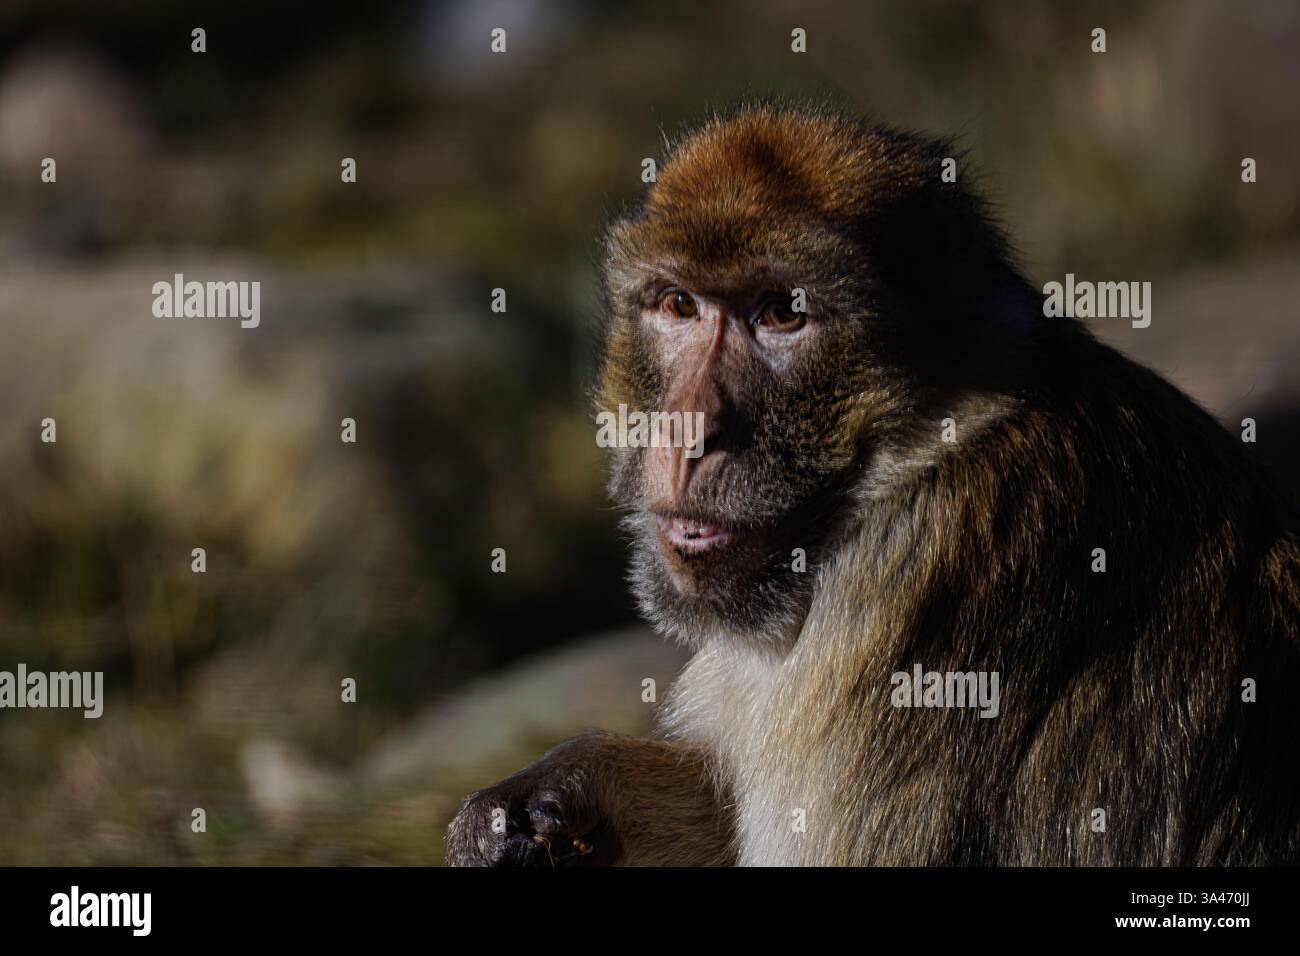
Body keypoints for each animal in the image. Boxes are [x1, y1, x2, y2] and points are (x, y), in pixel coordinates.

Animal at [445, 101, 1300, 866]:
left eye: (782, 316)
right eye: (678, 305)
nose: (687, 433)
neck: (920, 457)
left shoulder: (916, 620)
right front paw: (559, 792)